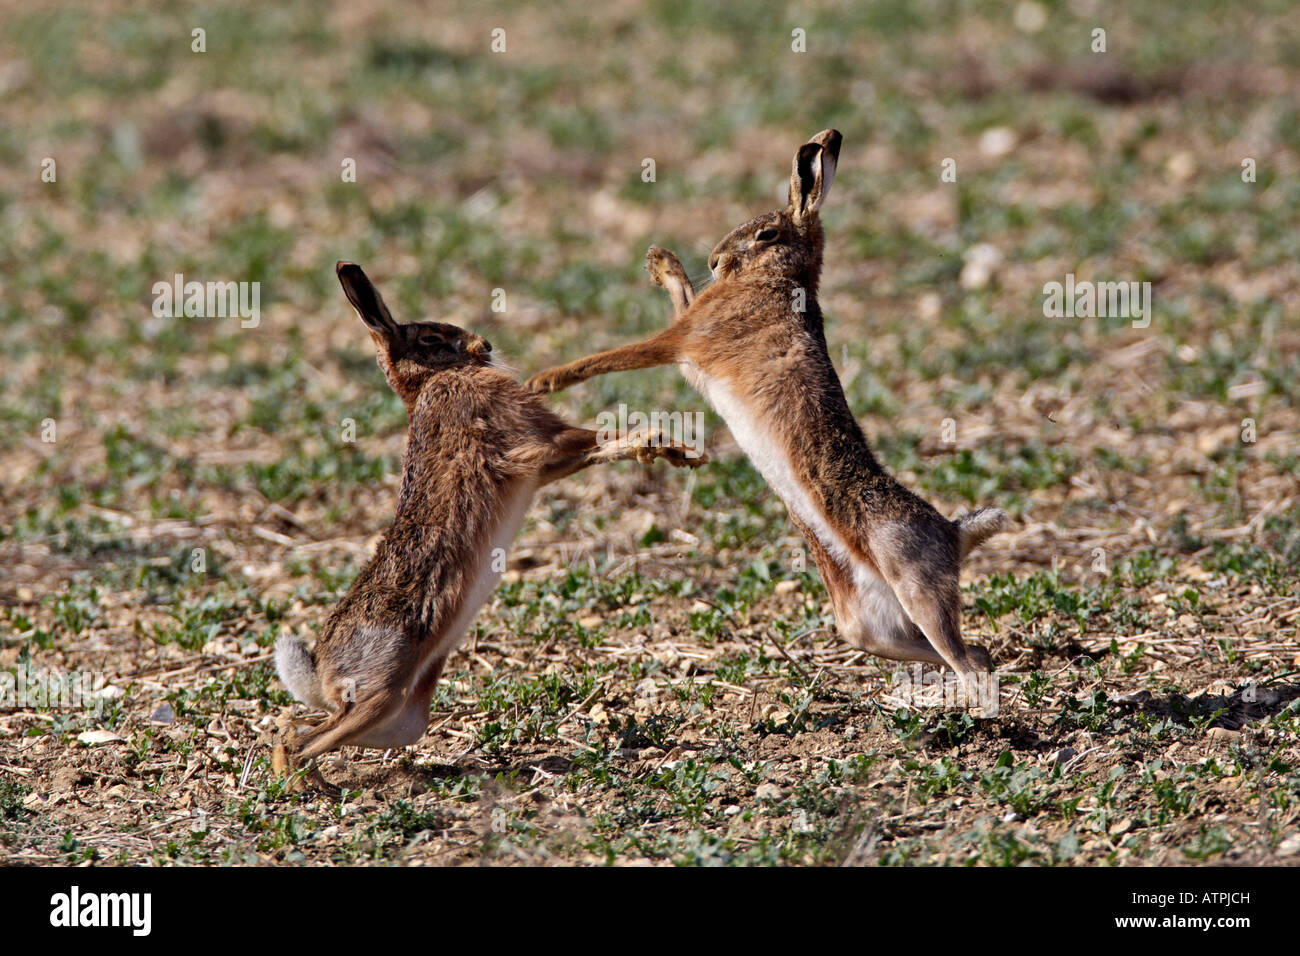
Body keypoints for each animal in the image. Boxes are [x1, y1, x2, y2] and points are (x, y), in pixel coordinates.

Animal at [274, 261, 706, 764]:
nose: (485, 346)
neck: (429, 382)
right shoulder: (538, 440)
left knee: (296, 727)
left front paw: (671, 450)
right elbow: (594, 437)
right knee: (300, 744)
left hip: (400, 720)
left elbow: (595, 448)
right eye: (430, 338)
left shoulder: (544, 463)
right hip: (380, 692)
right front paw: (660, 441)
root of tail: (321, 673)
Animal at [527, 130, 1007, 693]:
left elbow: (619, 353)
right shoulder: (692, 352)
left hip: (915, 585)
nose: (715, 260)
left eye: (767, 234)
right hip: (868, 625)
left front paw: (545, 381)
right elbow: (680, 295)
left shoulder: (683, 340)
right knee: (972, 653)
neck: (782, 279)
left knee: (969, 662)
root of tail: (956, 534)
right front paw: (661, 260)